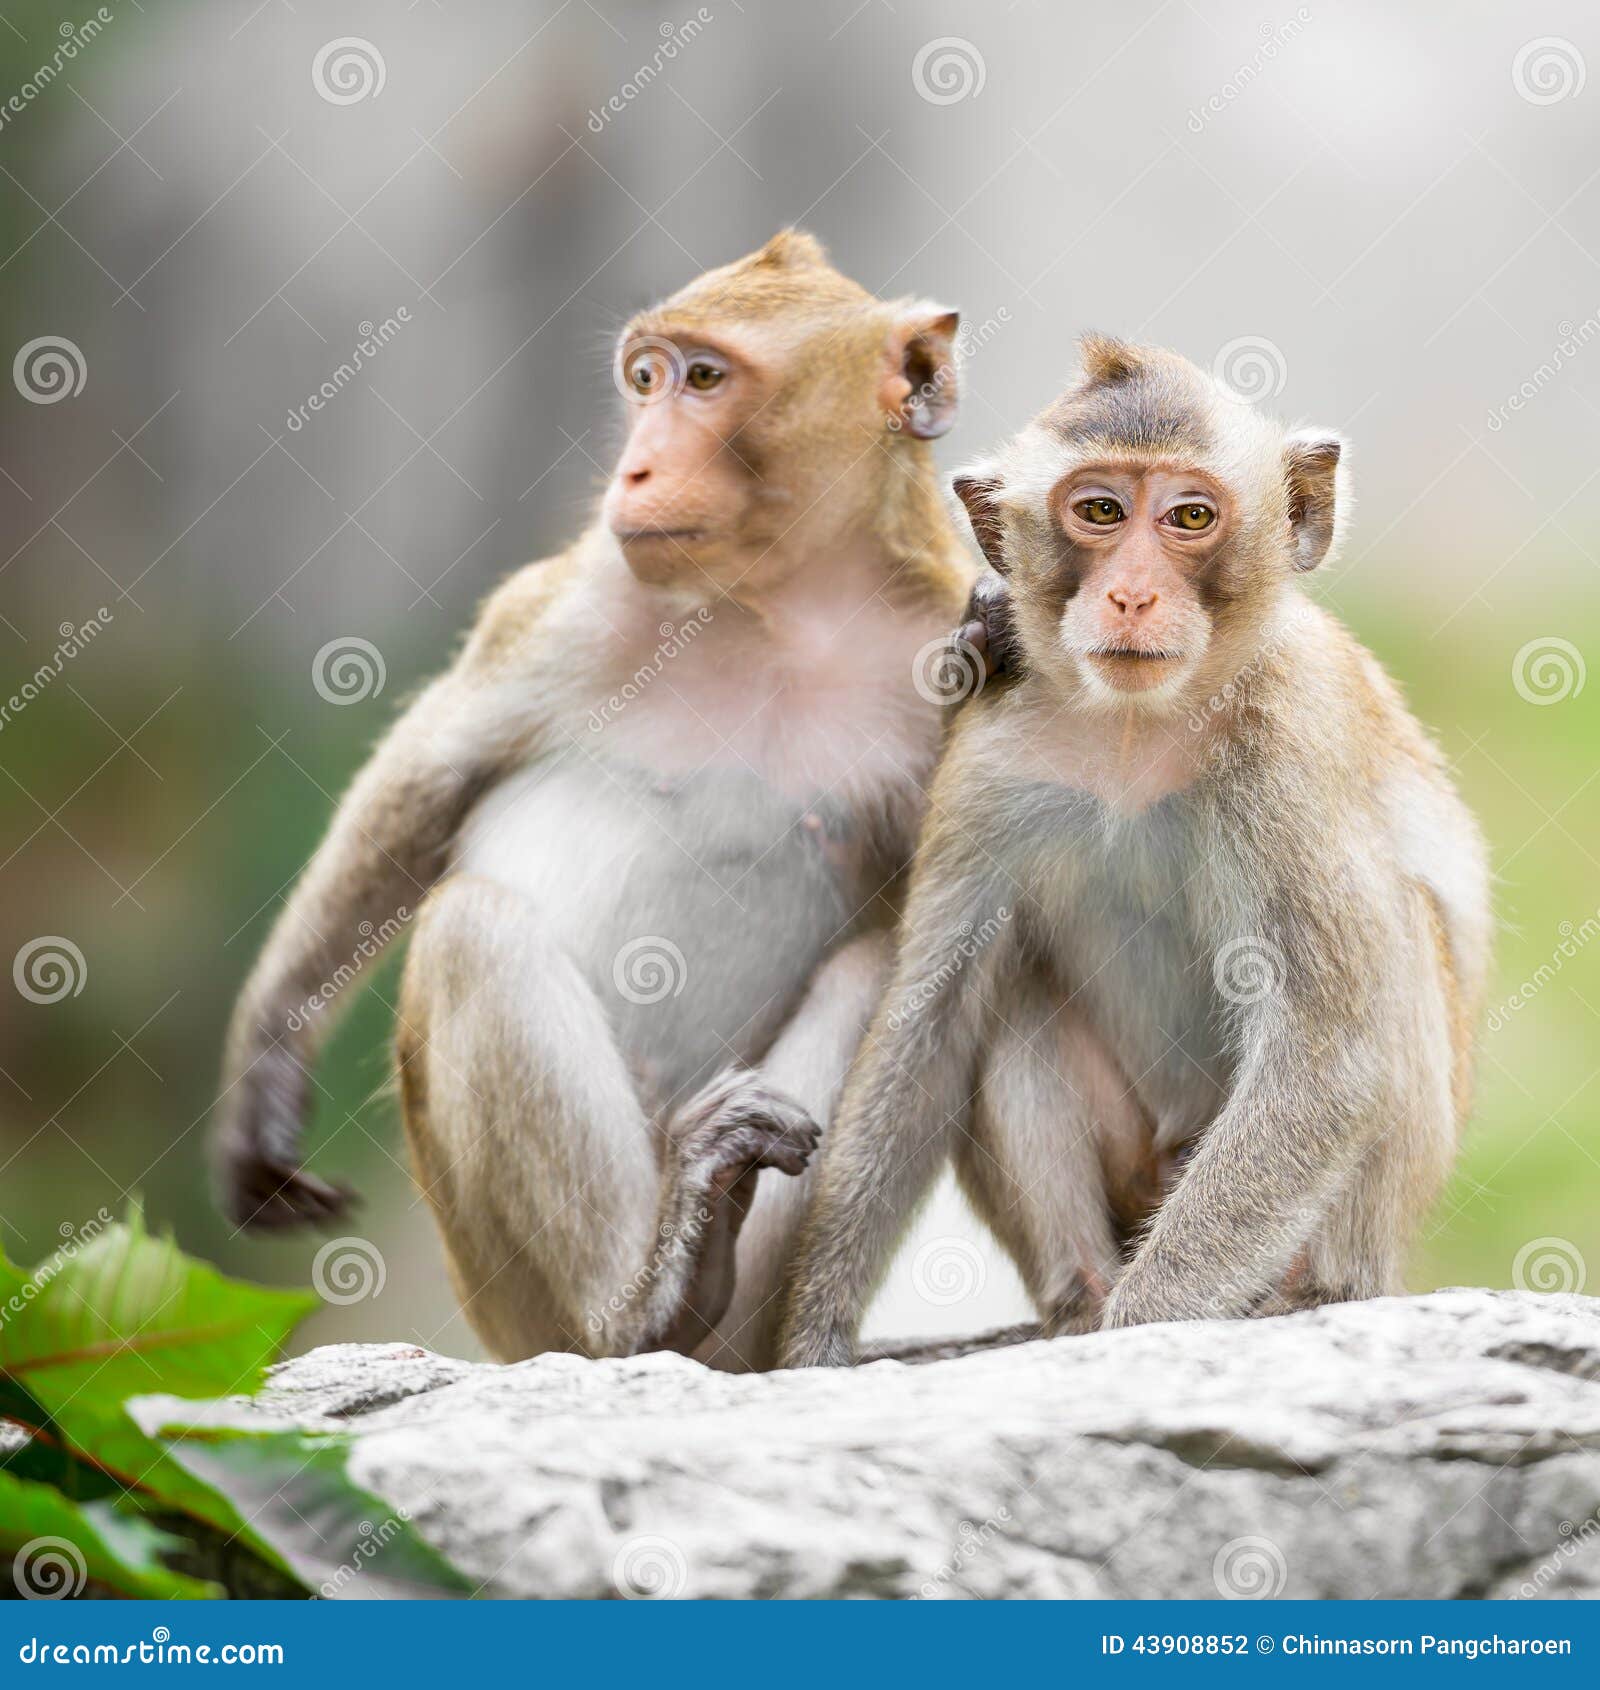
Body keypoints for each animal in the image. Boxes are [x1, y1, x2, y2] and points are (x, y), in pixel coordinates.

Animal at [213, 230, 975, 1368]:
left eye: (705, 379)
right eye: (646, 379)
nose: (635, 467)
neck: (783, 608)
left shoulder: (955, 656)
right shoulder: (587, 599)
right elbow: (431, 772)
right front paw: (264, 1075)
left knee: (877, 966)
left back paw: (704, 1291)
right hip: (509, 1297)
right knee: (473, 929)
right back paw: (646, 1300)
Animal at [777, 334, 1492, 1367]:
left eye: (1190, 516)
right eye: (1101, 511)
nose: (1131, 592)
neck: (1133, 732)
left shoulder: (1291, 743)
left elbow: (1332, 1049)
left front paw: (1145, 1327)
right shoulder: (990, 757)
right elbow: (930, 1022)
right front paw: (813, 1339)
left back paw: (1306, 1293)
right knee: (1007, 983)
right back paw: (1078, 1298)